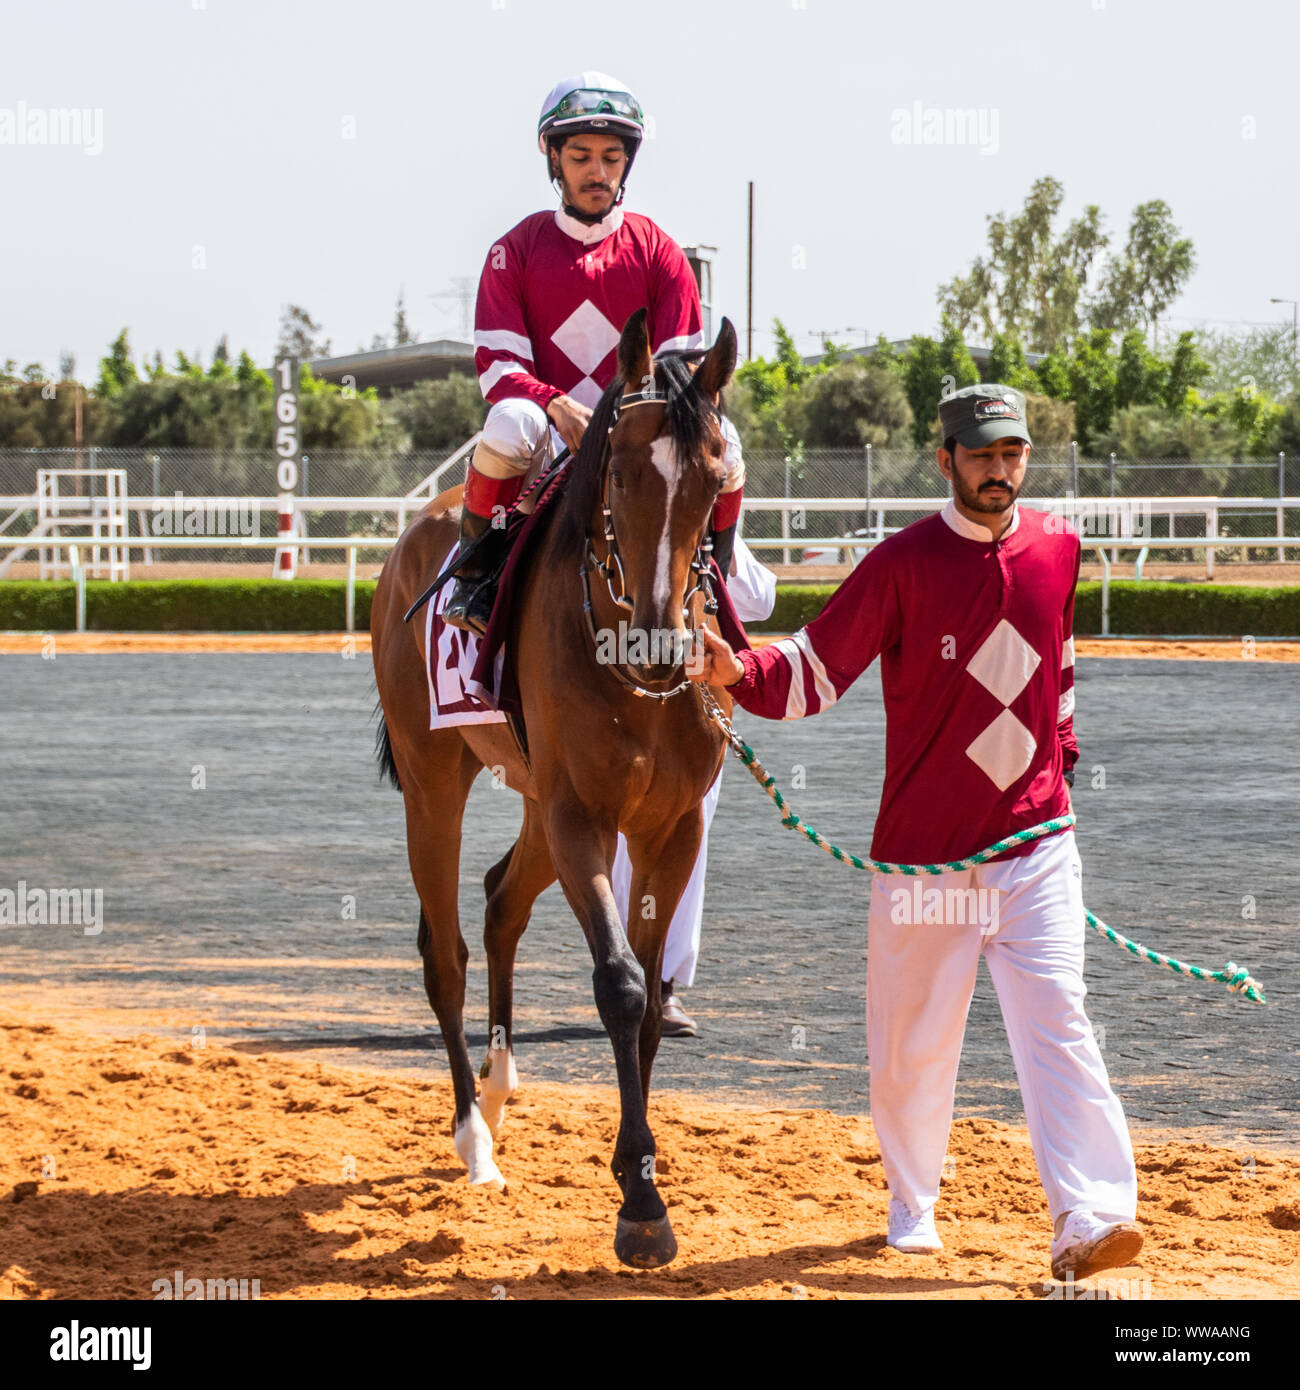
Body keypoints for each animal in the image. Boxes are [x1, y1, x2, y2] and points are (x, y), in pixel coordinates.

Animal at [369, 308, 738, 1269]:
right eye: (620, 470)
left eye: (714, 475)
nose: (660, 642)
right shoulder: (584, 819)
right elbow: (620, 985)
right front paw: (641, 1206)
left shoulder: (669, 827)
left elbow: (650, 1003)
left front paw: (637, 1170)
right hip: (434, 781)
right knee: (446, 951)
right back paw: (474, 1137)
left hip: (534, 800)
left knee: (502, 899)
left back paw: (500, 1089)